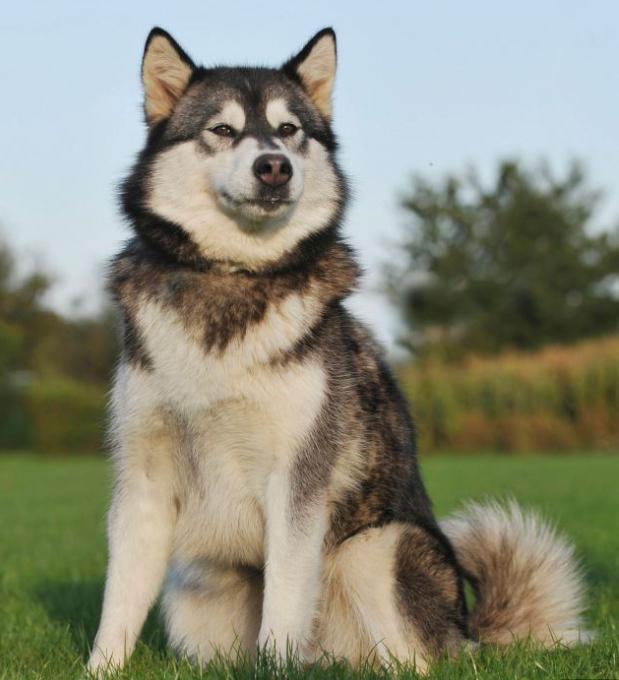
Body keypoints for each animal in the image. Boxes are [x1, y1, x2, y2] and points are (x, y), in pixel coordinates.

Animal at [86, 26, 588, 676]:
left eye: (289, 130)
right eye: (221, 130)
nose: (274, 166)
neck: (234, 278)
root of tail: (469, 631)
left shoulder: (299, 480)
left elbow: (284, 598)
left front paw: (274, 666)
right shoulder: (143, 477)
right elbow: (119, 598)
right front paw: (99, 667)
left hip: (374, 547)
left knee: (413, 659)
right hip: (194, 586)